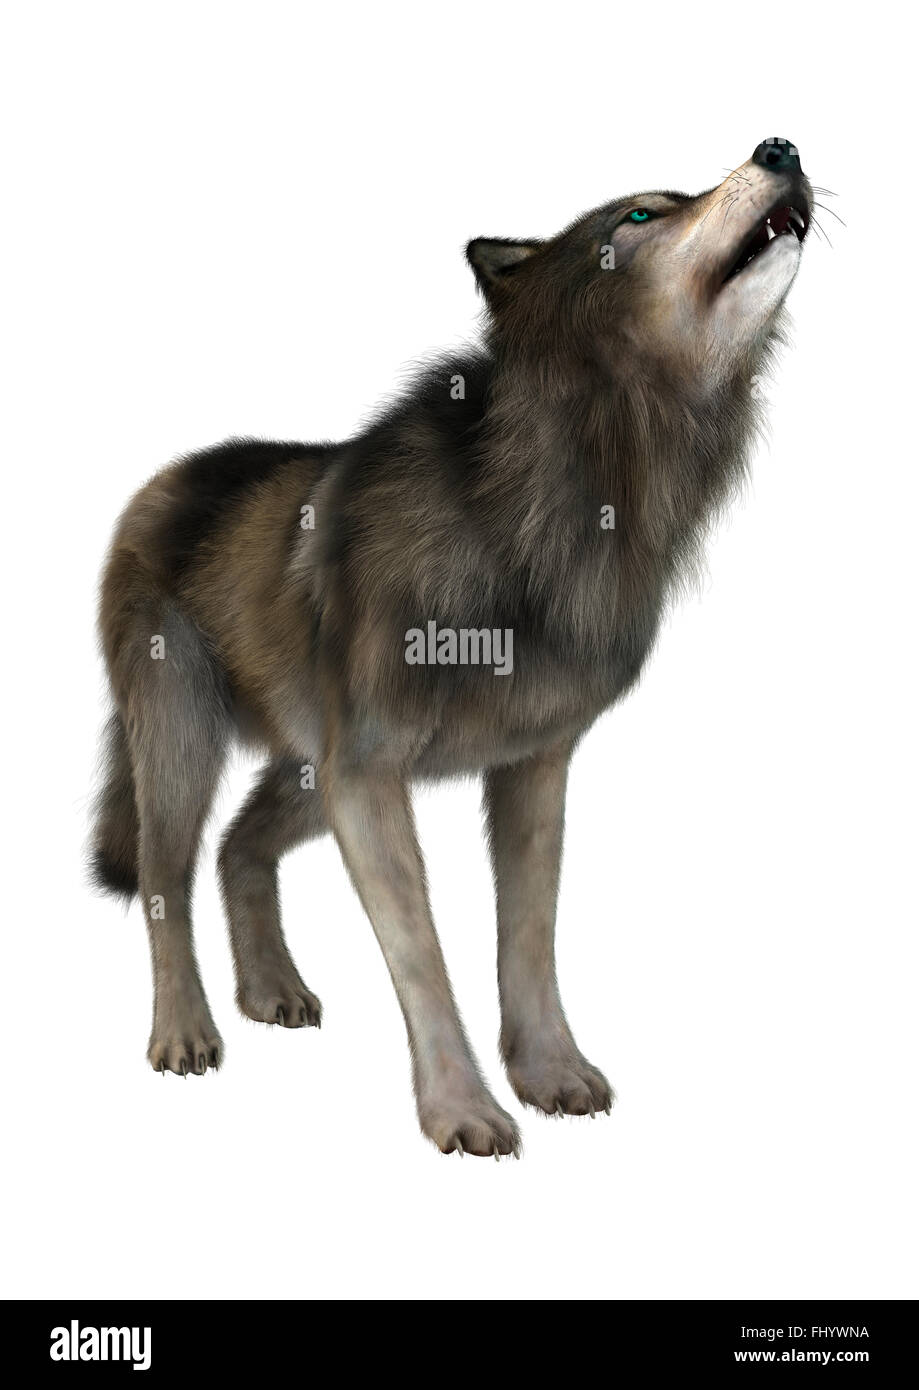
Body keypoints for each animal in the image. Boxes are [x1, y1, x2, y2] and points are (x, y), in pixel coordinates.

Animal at [91, 138, 812, 1157]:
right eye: (638, 216)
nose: (778, 148)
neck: (563, 496)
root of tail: (159, 483)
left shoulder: (530, 767)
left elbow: (530, 937)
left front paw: (548, 1073)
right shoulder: (369, 774)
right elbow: (423, 952)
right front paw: (463, 1112)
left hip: (309, 772)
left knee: (238, 845)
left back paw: (271, 989)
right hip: (192, 749)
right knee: (166, 876)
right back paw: (185, 1031)